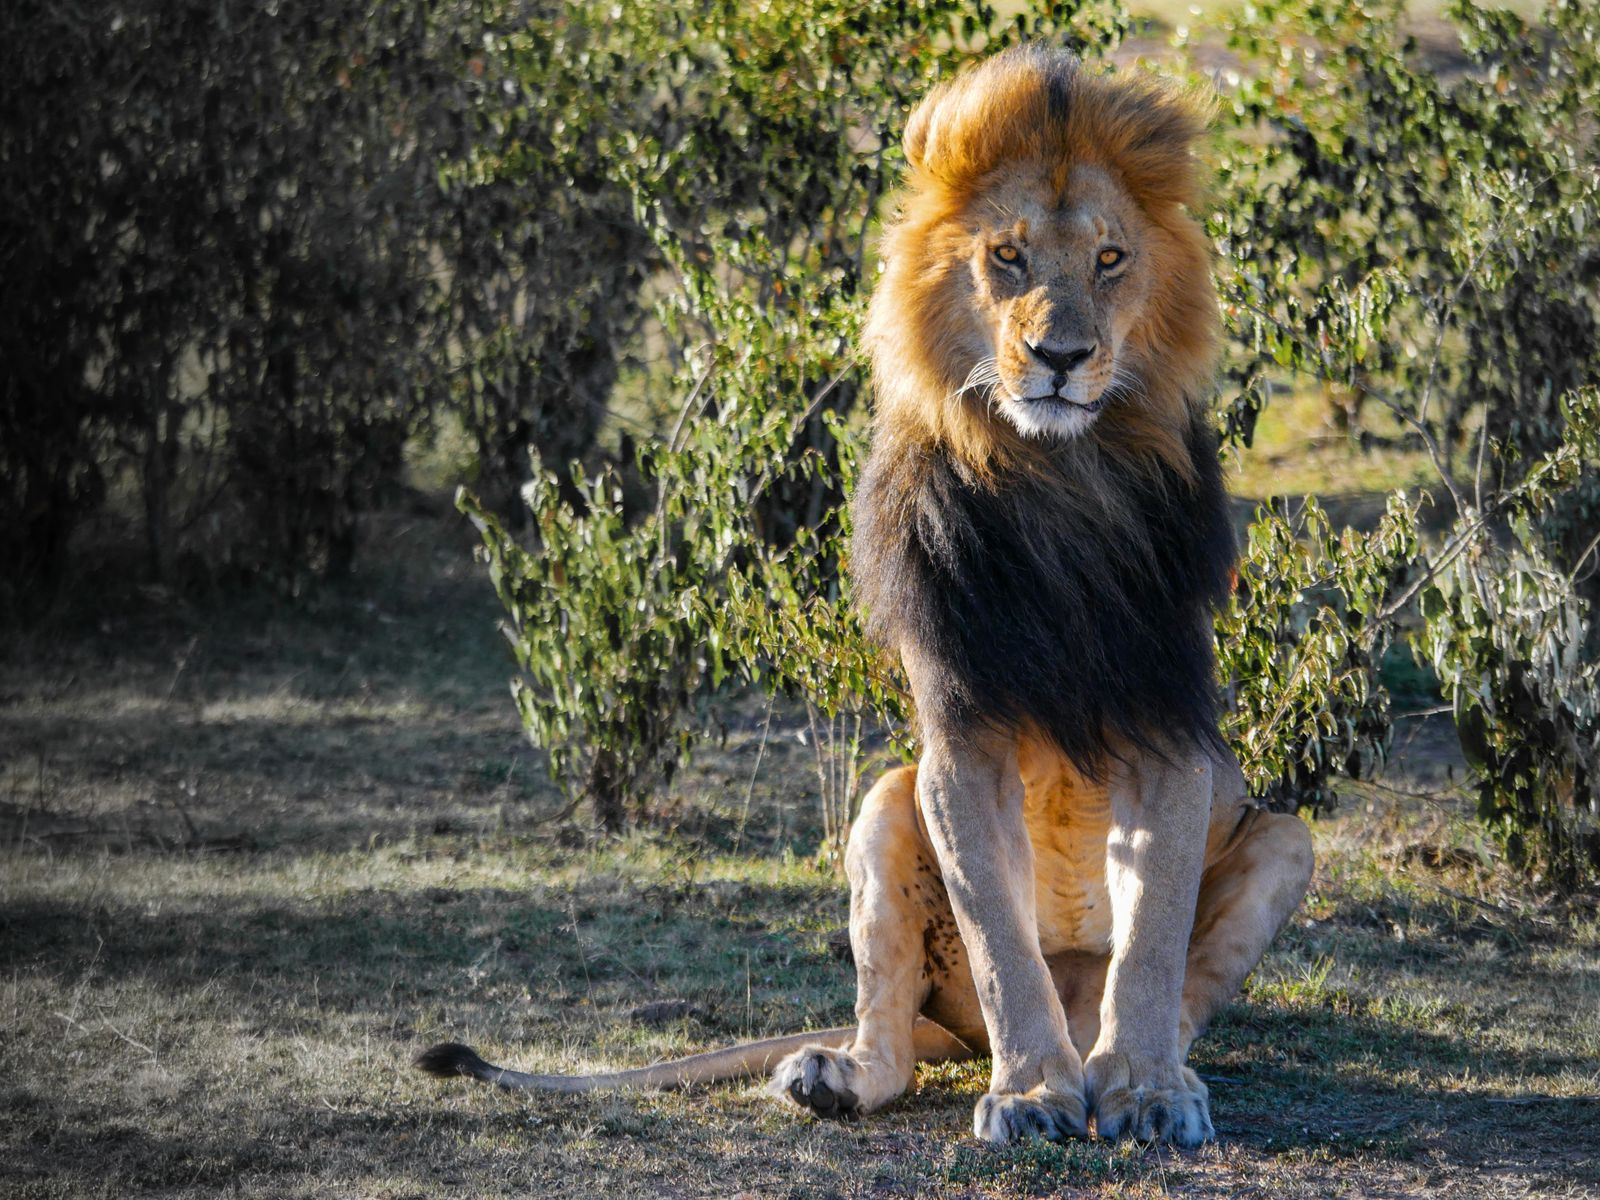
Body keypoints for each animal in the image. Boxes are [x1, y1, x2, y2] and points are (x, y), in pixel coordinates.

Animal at [417, 46, 1313, 1149]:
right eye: (1008, 256)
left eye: (1109, 259)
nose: (1061, 358)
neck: (1053, 477)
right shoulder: (959, 734)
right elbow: (1000, 944)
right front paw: (1030, 1094)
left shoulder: (1166, 718)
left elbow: (1150, 943)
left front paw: (1145, 1089)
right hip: (886, 805)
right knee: (901, 1028)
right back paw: (843, 1074)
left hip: (1287, 836)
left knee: (1165, 988)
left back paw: (1133, 1068)